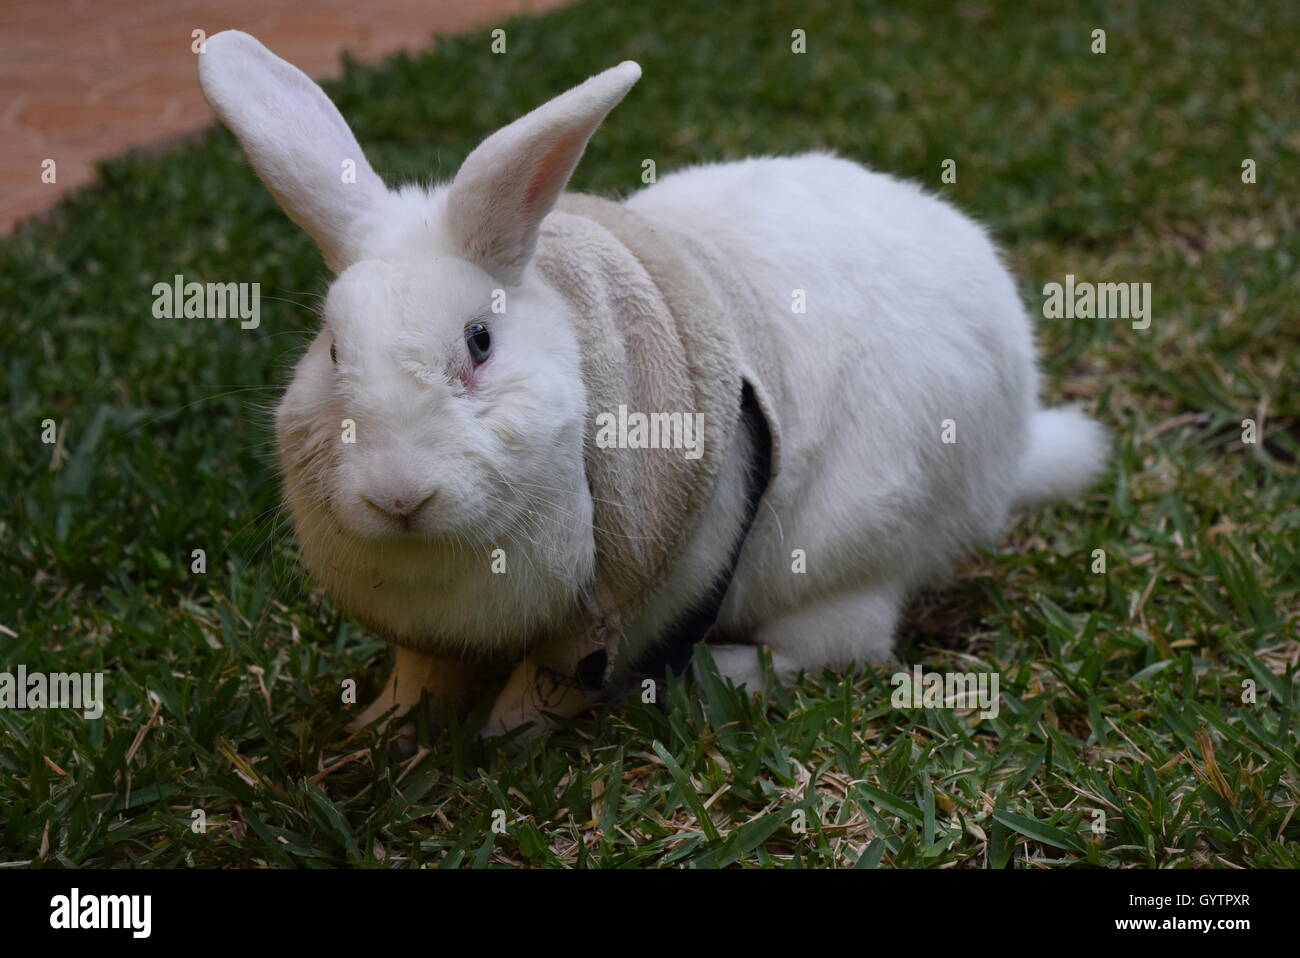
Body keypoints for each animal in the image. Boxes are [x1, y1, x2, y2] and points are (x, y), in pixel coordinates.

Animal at [197, 31, 1108, 736]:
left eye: (480, 342)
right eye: (333, 352)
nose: (397, 496)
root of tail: (1013, 439)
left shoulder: (615, 616)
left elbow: (541, 693)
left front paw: (496, 741)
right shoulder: (427, 637)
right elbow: (419, 680)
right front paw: (380, 733)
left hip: (858, 542)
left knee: (838, 644)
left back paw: (716, 674)